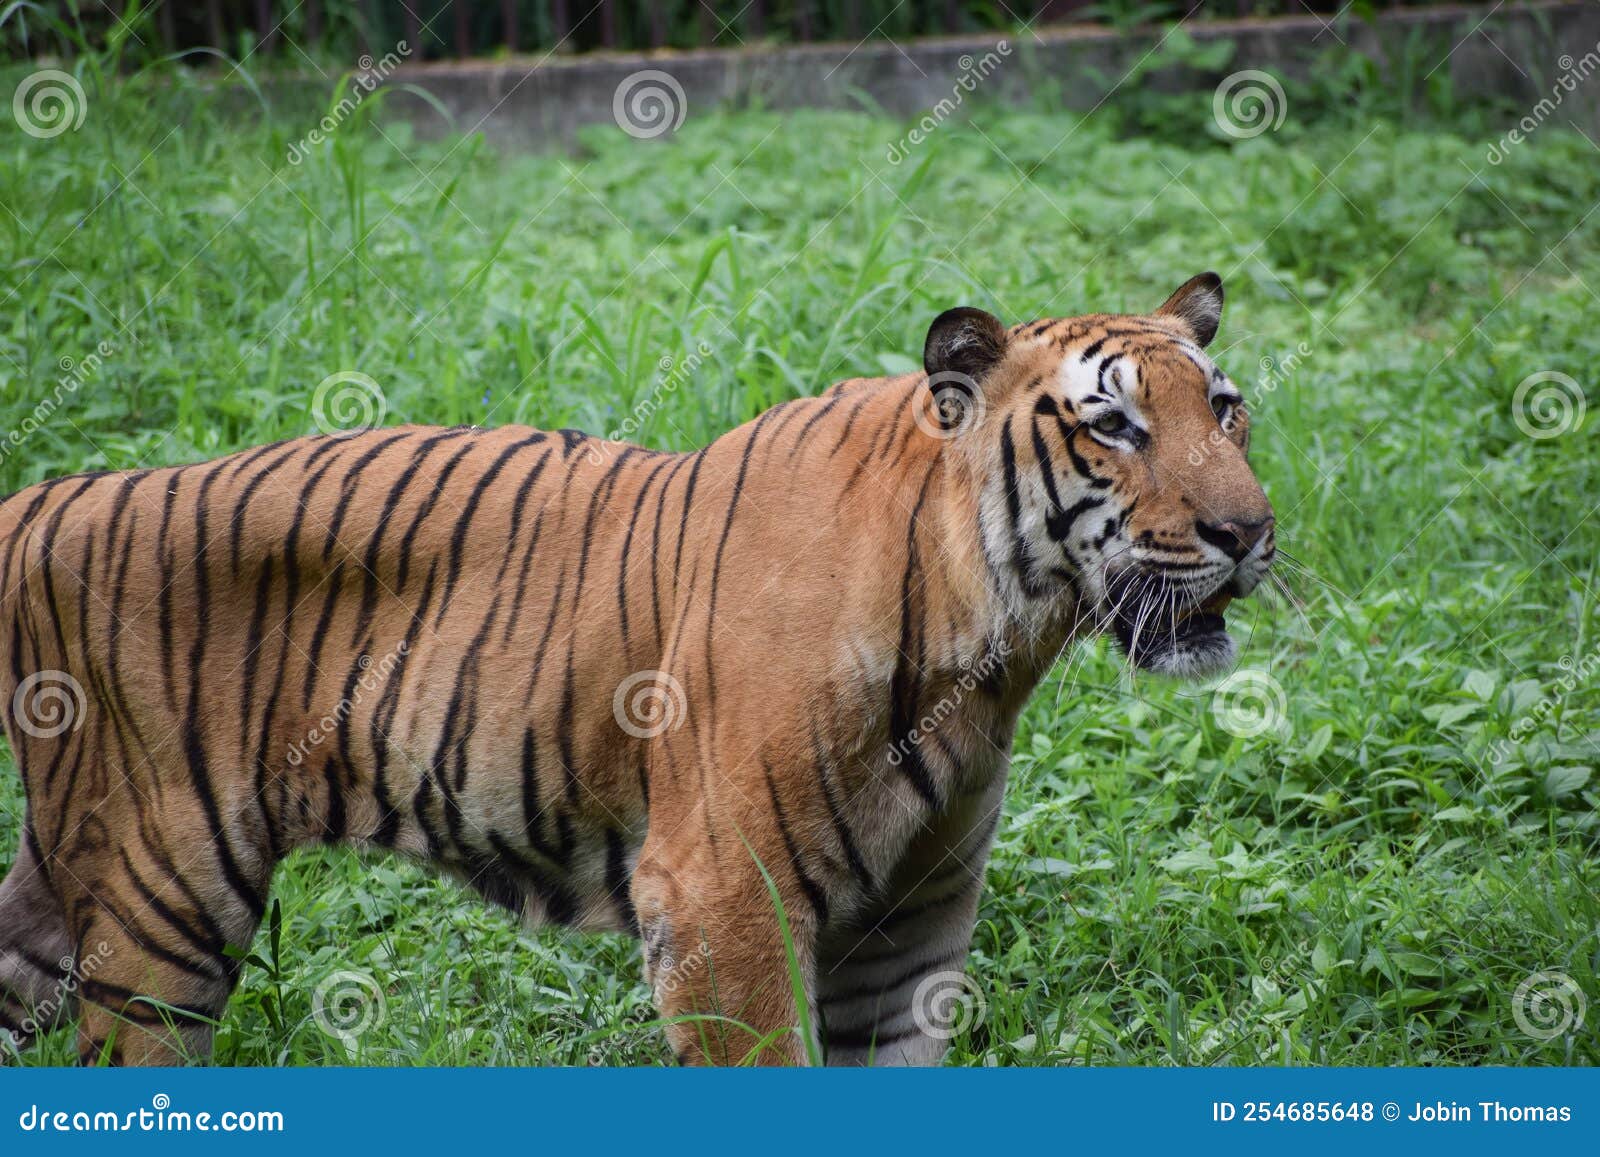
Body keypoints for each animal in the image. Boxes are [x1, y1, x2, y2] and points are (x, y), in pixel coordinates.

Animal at [0, 273, 1274, 1066]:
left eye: (1225, 410)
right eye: (1112, 426)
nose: (1249, 531)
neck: (995, 644)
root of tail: (50, 499)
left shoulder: (911, 916)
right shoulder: (722, 896)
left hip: (69, 889)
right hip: (165, 899)